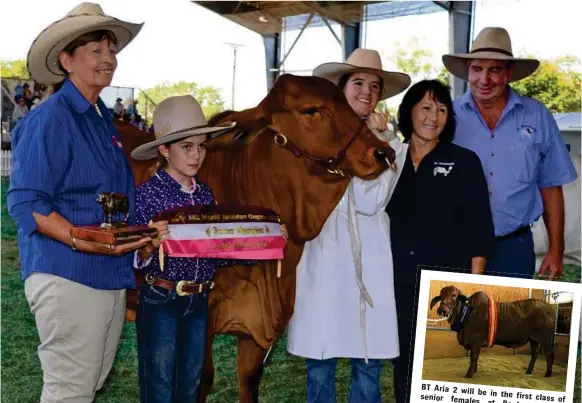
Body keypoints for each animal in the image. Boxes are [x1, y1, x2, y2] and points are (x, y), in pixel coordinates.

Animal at [117, 74, 396, 402]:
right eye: (311, 110)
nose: (384, 152)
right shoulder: (203, 317)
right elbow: (200, 381)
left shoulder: (256, 334)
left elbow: (248, 380)